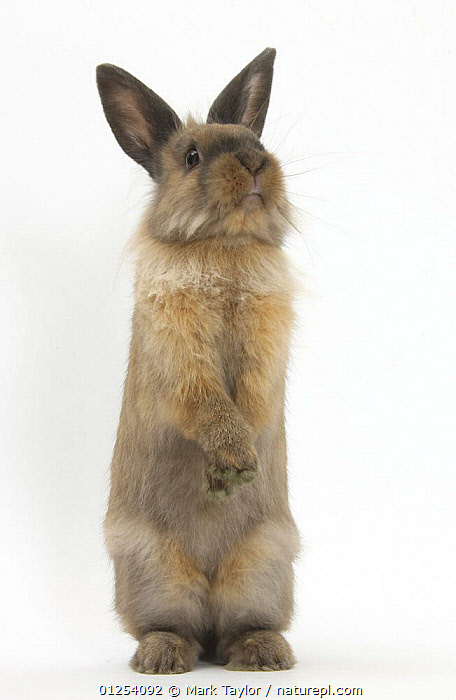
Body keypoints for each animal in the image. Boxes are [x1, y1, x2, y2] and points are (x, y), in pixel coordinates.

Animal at [96, 47, 300, 674]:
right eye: (191, 157)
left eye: (253, 140)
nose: (256, 162)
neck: (224, 244)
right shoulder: (180, 350)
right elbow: (206, 401)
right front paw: (230, 463)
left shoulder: (267, 344)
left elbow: (253, 400)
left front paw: (240, 466)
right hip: (153, 570)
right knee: (172, 625)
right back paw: (161, 658)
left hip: (262, 568)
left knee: (238, 627)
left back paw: (263, 655)